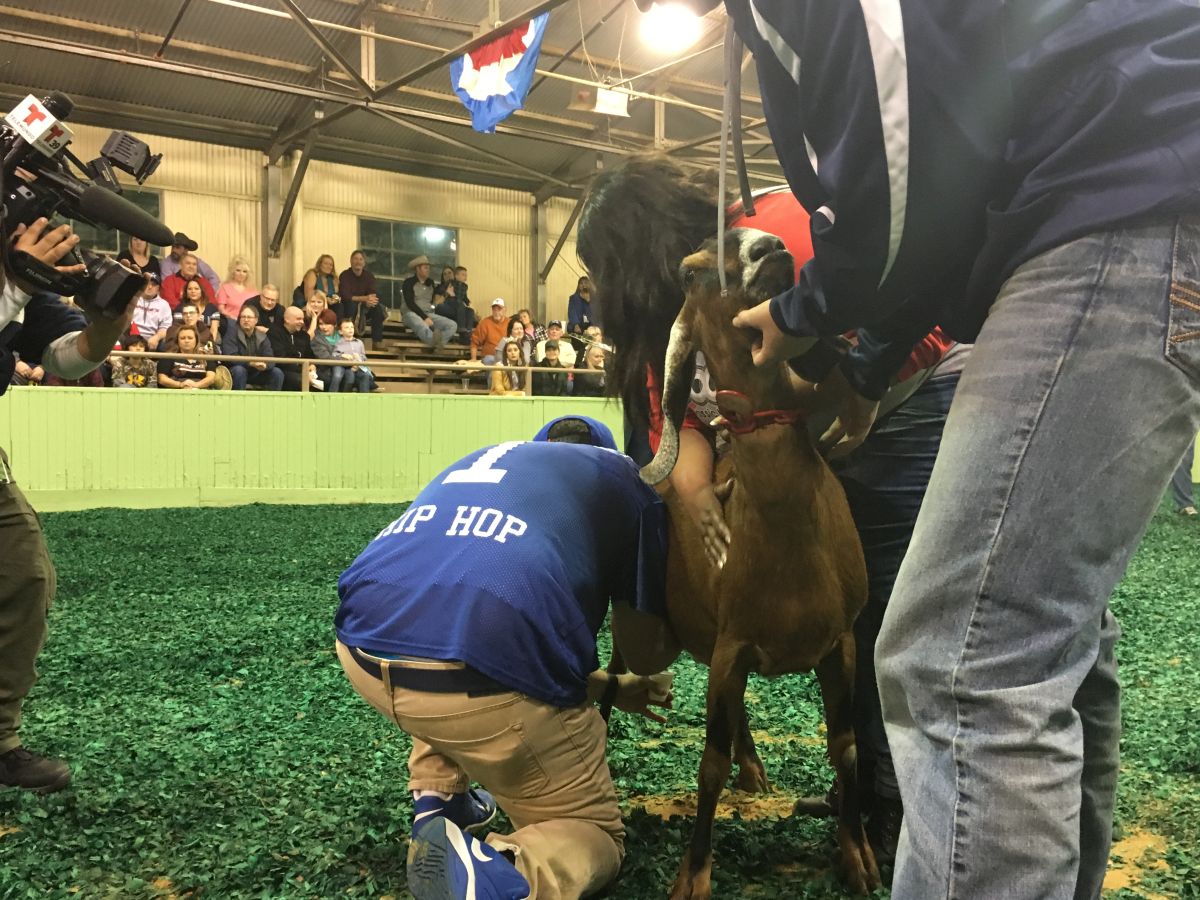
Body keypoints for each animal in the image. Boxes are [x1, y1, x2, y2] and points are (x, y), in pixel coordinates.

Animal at [643, 227, 879, 899]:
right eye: (690, 272)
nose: (768, 248)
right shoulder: (732, 643)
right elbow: (708, 763)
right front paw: (693, 873)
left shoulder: (842, 641)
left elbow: (846, 747)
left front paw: (857, 855)